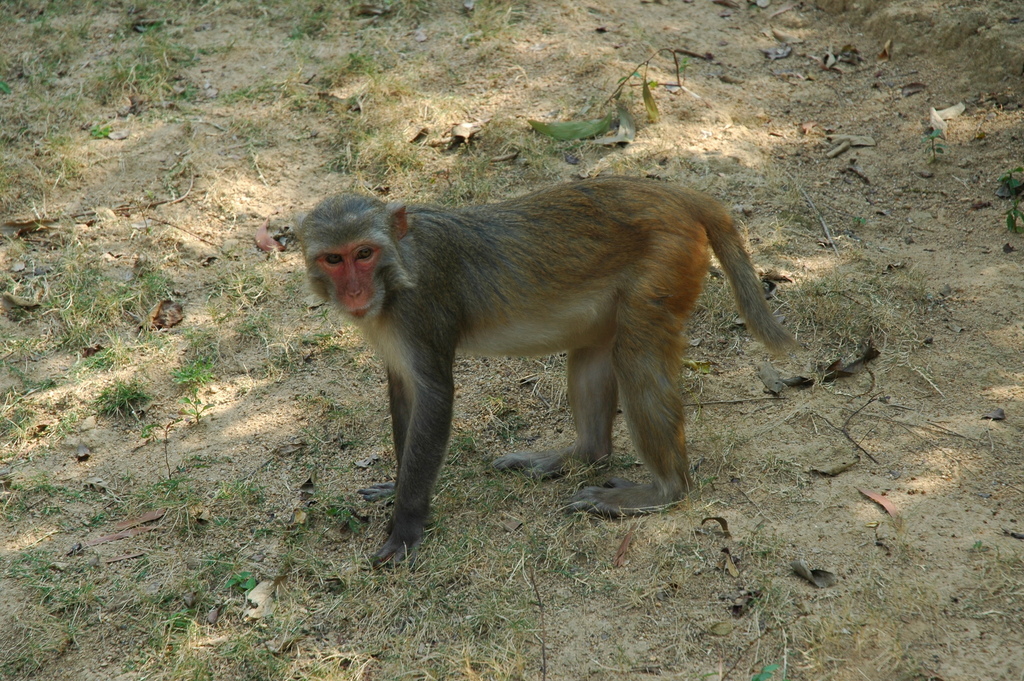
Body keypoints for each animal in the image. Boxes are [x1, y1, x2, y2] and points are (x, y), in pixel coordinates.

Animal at [297, 176, 795, 564]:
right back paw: (583, 454)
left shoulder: (423, 307)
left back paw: (664, 490)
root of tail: (679, 195)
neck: (399, 267)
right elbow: (405, 393)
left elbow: (434, 396)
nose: (355, 292)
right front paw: (397, 485)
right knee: (596, 349)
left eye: (364, 253)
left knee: (635, 354)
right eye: (334, 259)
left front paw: (405, 527)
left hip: (664, 264)